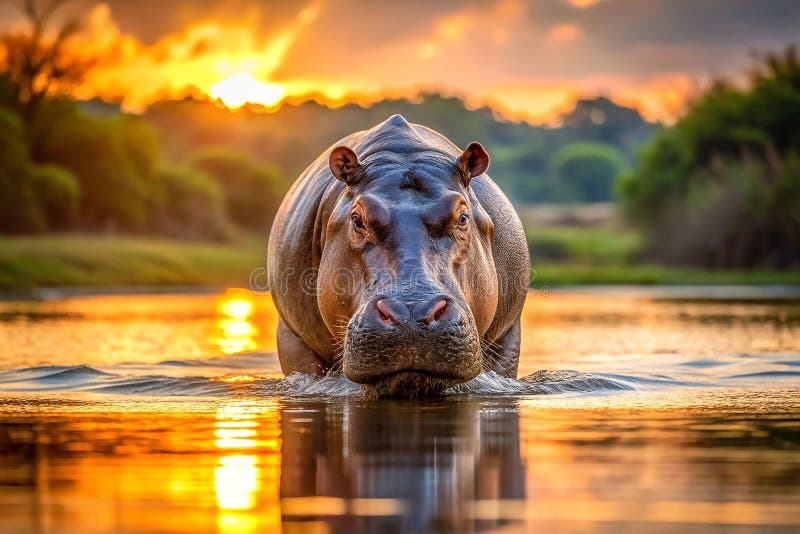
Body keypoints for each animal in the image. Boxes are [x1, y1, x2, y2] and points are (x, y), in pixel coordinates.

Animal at [267, 114, 529, 397]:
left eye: (462, 217)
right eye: (357, 219)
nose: (411, 313)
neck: (404, 153)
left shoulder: (507, 337)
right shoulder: (296, 342)